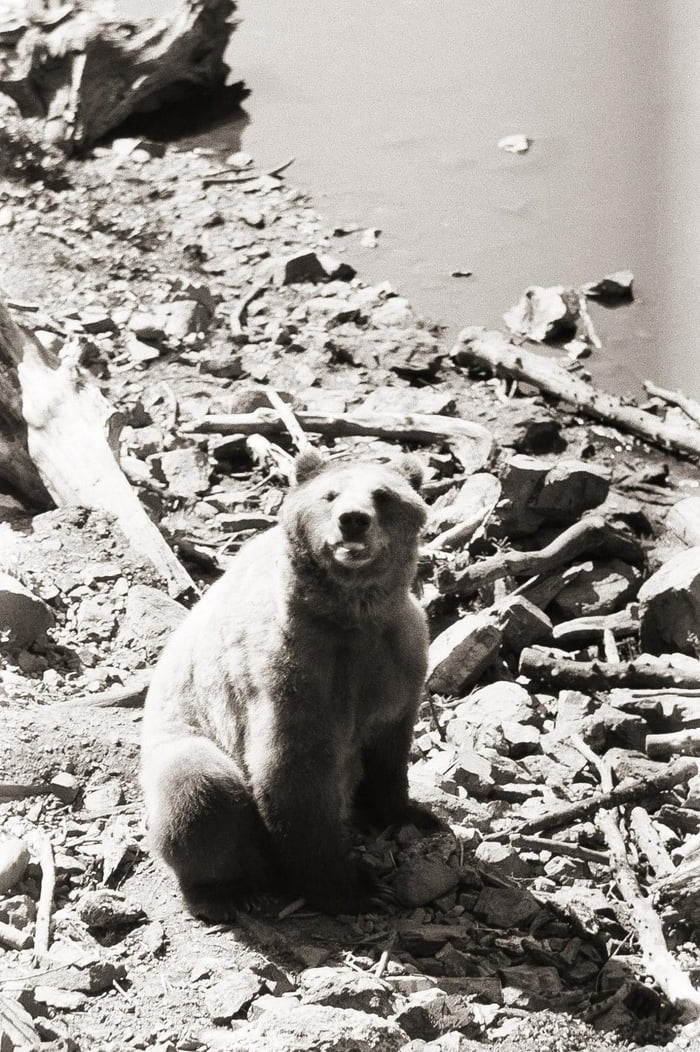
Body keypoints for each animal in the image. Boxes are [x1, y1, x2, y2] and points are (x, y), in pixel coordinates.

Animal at [140, 448, 437, 921]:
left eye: (383, 494)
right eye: (330, 494)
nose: (353, 519)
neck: (351, 615)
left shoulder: (397, 660)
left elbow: (389, 750)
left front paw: (412, 815)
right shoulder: (291, 674)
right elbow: (291, 774)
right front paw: (357, 888)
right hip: (183, 737)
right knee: (199, 792)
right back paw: (228, 892)